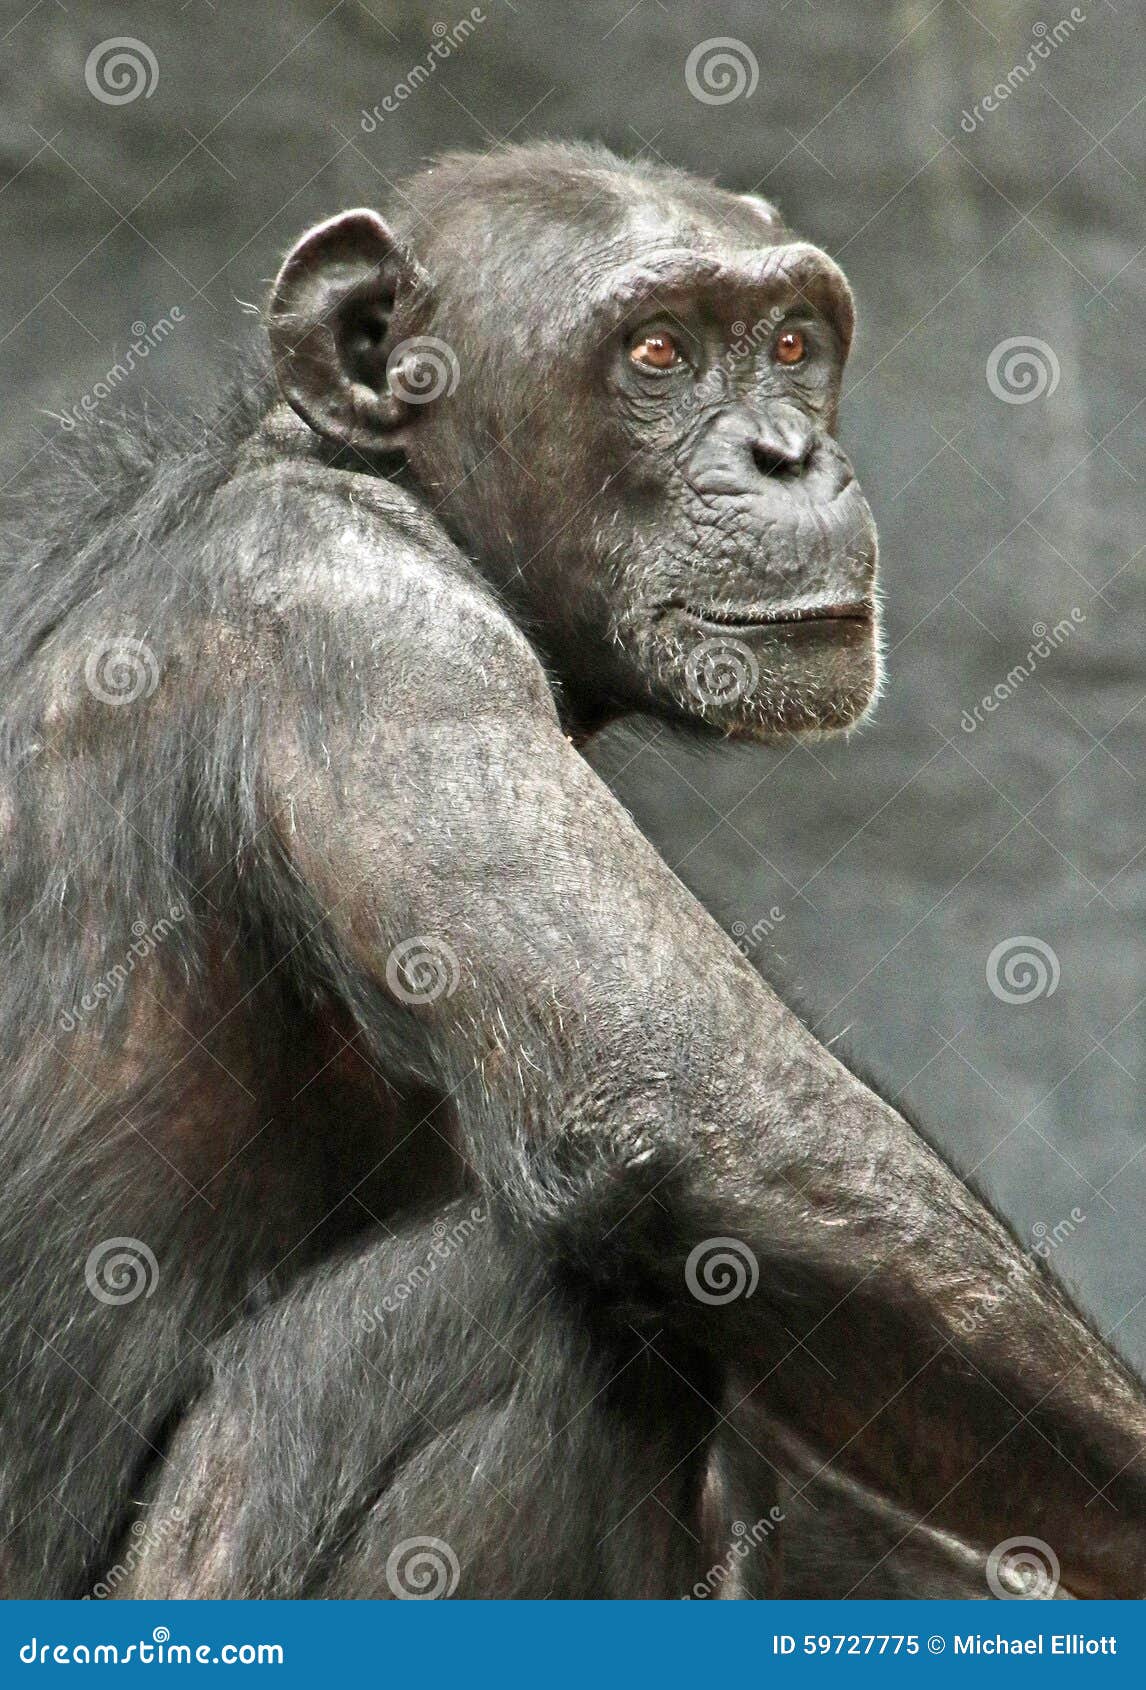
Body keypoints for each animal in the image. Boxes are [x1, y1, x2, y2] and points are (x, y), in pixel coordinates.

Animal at [1, 142, 1143, 1599]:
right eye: (657, 352)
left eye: (790, 343)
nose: (787, 454)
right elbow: (683, 1100)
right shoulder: (358, 624)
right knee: (505, 1313)